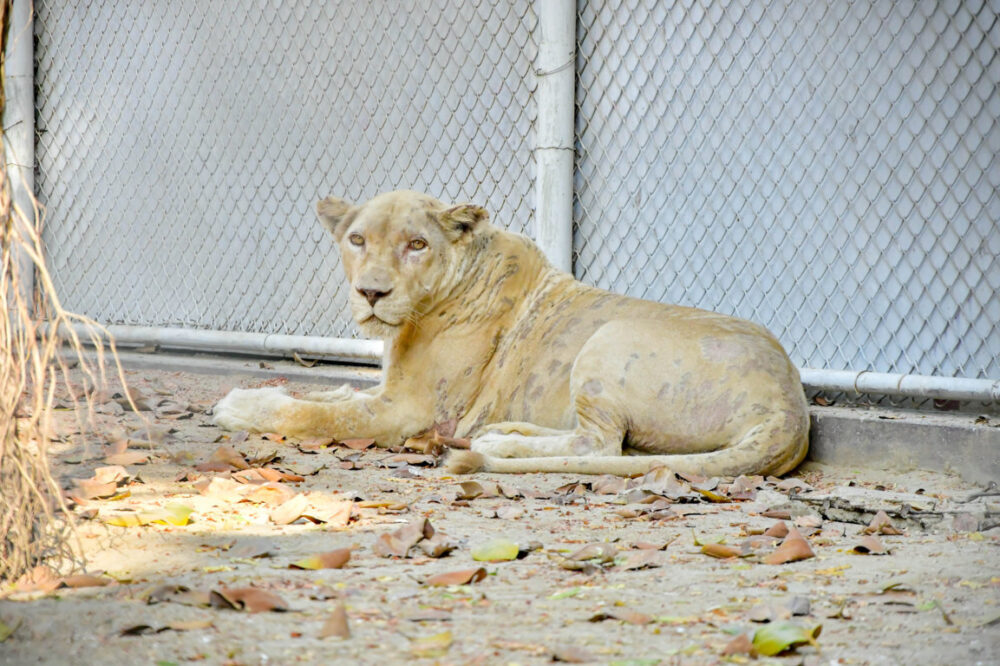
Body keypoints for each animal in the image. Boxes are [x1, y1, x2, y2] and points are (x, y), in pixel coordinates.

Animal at [213, 190, 809, 477]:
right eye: (357, 240)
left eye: (416, 244)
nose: (372, 293)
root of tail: (791, 408)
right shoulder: (389, 390)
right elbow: (328, 396)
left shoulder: (412, 411)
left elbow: (317, 414)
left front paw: (238, 406)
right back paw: (506, 431)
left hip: (608, 337)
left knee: (600, 445)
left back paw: (495, 442)